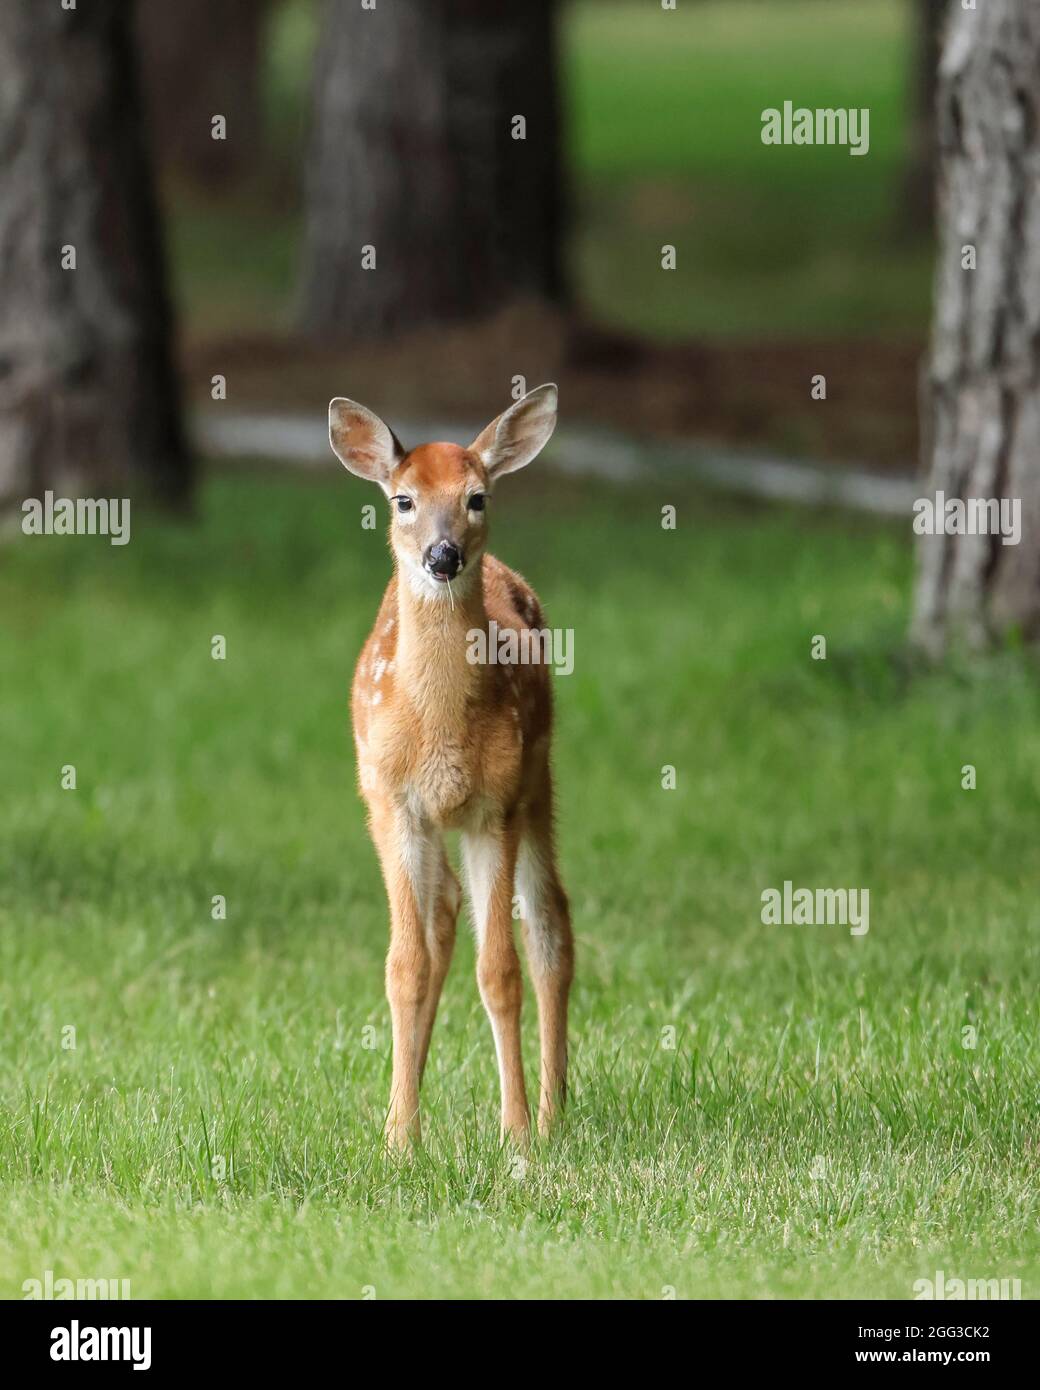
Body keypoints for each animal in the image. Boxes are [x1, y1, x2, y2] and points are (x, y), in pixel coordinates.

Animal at [329, 385, 574, 1150]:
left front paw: (517, 1137)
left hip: (538, 778)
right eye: (403, 499)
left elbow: (500, 971)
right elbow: (404, 967)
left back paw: (555, 1112)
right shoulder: (393, 804)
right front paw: (398, 1141)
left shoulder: (492, 806)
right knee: (439, 922)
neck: (435, 725)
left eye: (477, 497)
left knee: (549, 921)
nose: (444, 555)